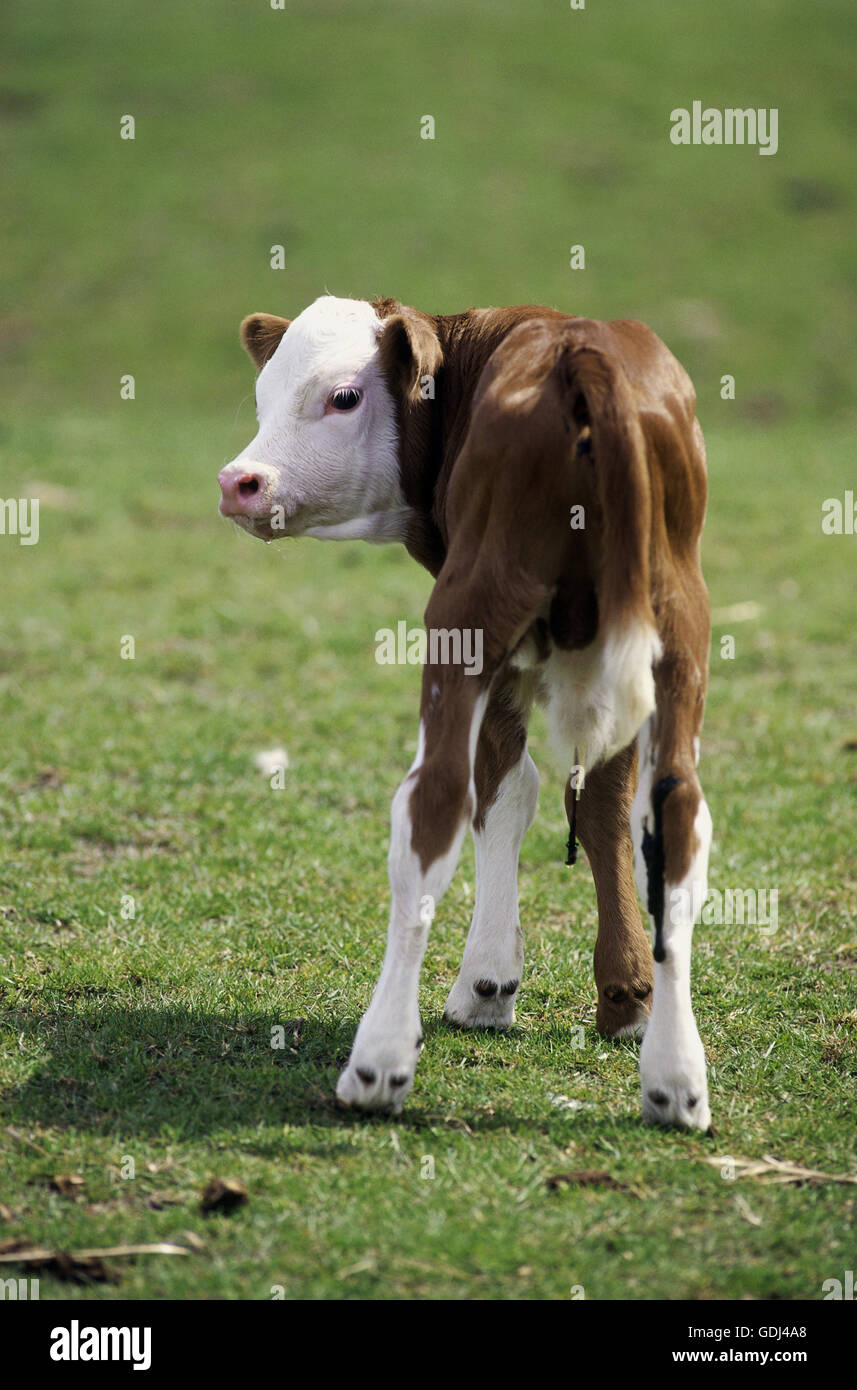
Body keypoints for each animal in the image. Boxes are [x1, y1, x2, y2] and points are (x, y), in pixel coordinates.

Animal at [218, 294, 712, 1130]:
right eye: (261, 397)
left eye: (343, 396)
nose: (239, 482)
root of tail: (583, 350)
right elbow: (598, 805)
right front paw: (623, 997)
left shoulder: (493, 647)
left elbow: (503, 791)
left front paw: (486, 982)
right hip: (676, 624)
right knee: (674, 814)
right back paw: (675, 1079)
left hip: (467, 606)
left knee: (436, 799)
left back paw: (378, 1061)